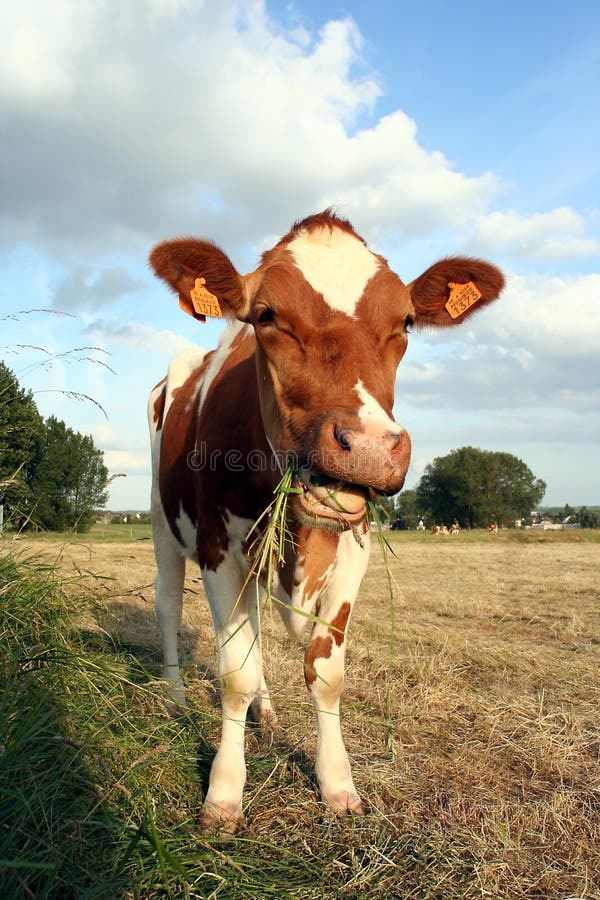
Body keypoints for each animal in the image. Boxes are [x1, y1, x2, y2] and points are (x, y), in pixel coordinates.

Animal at [148, 210, 504, 830]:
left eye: (405, 322)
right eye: (267, 315)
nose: (368, 448)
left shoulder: (354, 548)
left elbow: (324, 671)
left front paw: (337, 781)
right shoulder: (217, 547)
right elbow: (234, 672)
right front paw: (224, 791)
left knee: (255, 622)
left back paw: (266, 712)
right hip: (161, 523)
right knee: (168, 605)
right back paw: (174, 696)